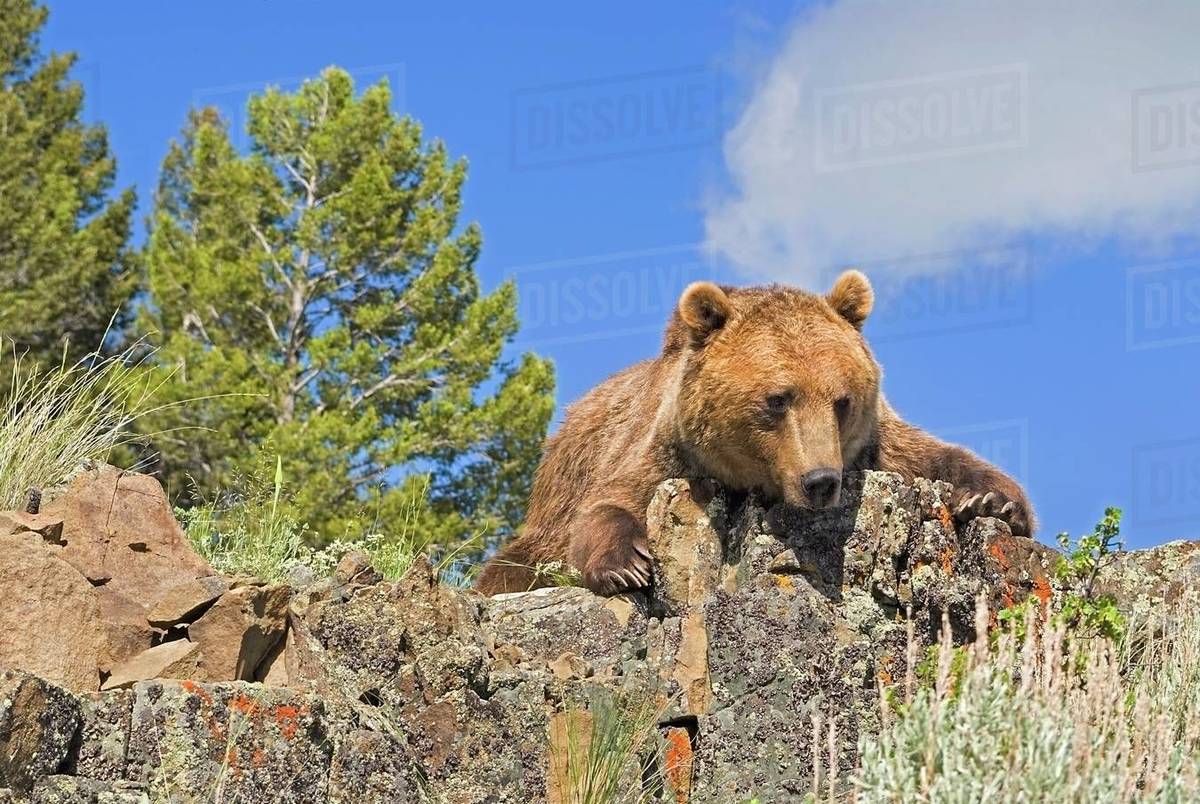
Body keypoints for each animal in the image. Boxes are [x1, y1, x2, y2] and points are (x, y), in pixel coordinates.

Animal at [476, 271, 1034, 596]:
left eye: (842, 400)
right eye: (778, 398)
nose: (821, 481)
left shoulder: (871, 446)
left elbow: (931, 456)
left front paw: (994, 499)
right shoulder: (668, 454)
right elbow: (610, 500)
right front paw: (625, 565)